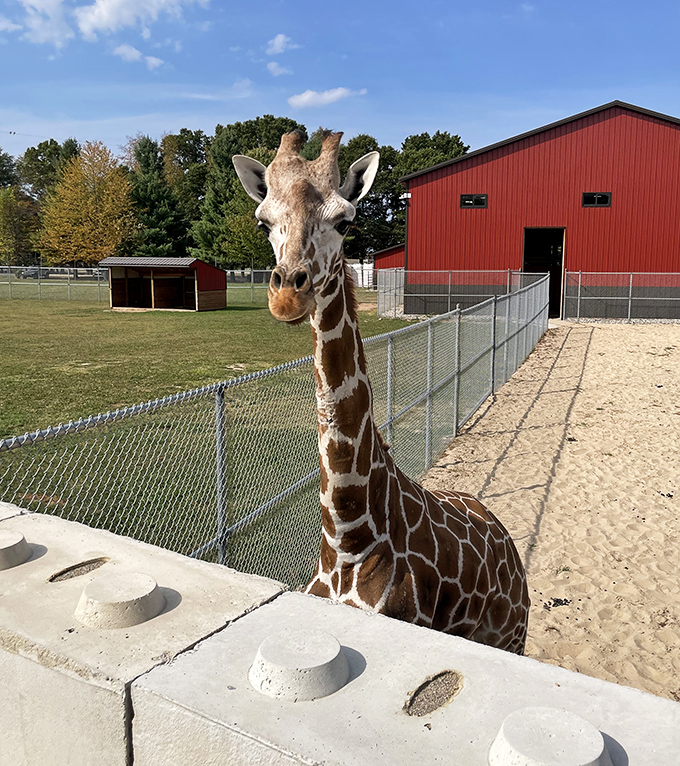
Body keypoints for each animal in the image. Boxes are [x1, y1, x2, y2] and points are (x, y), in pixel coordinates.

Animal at [233, 131, 529, 654]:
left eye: (345, 220)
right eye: (262, 221)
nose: (288, 294)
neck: (348, 538)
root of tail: (505, 536)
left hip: (513, 637)